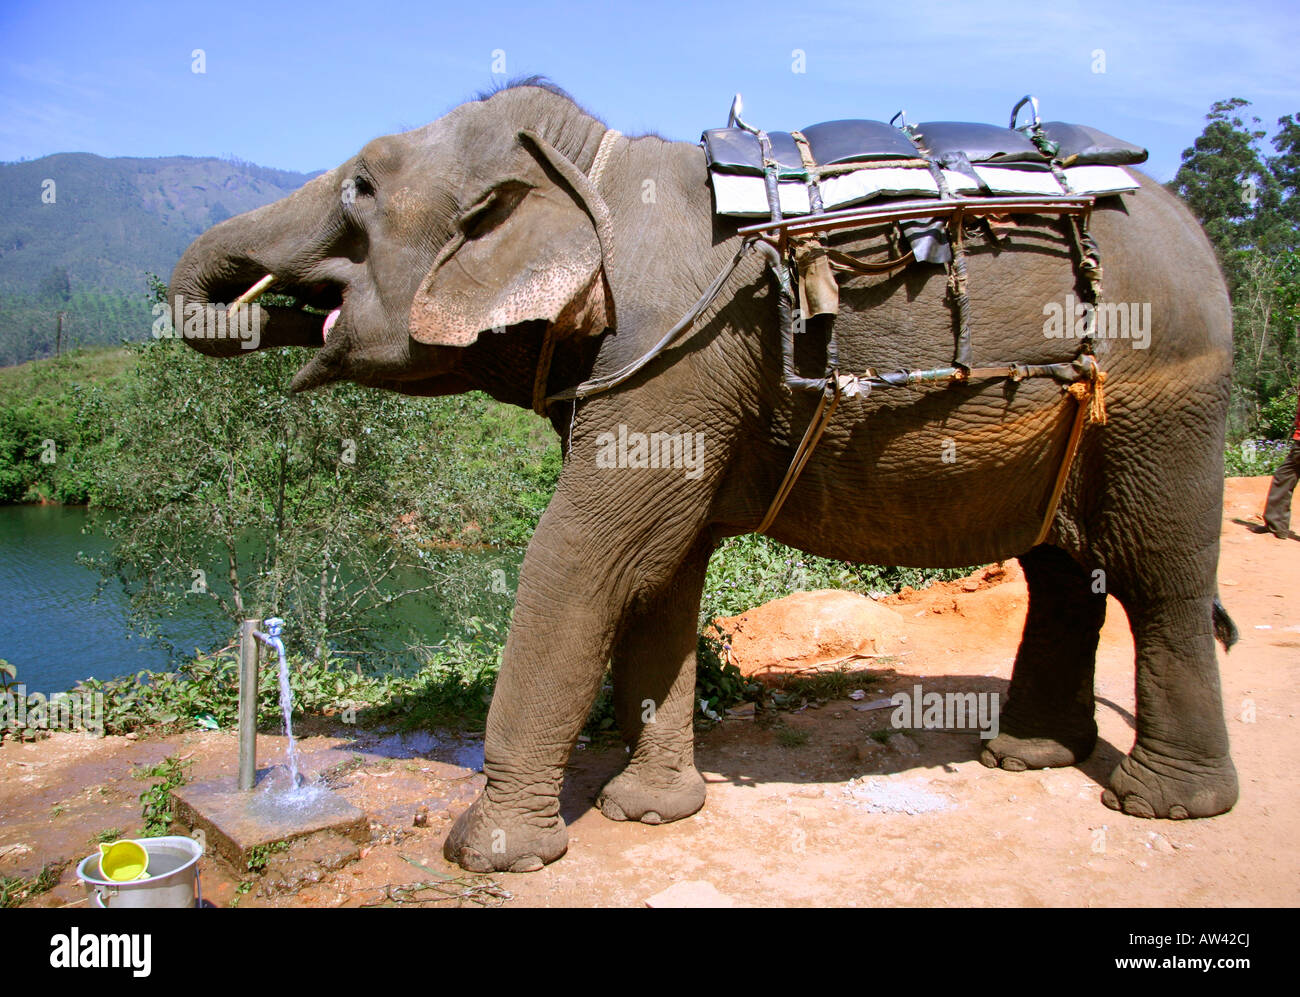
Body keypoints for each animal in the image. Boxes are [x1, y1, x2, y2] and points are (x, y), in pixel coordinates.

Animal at [170, 79, 1239, 873]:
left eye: (359, 186)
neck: (591, 160)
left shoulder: (675, 358)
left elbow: (586, 559)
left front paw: (491, 855)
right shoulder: (669, 377)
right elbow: (661, 575)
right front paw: (651, 815)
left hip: (1165, 394)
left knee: (1158, 574)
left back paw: (1163, 804)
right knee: (1065, 569)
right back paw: (1028, 756)